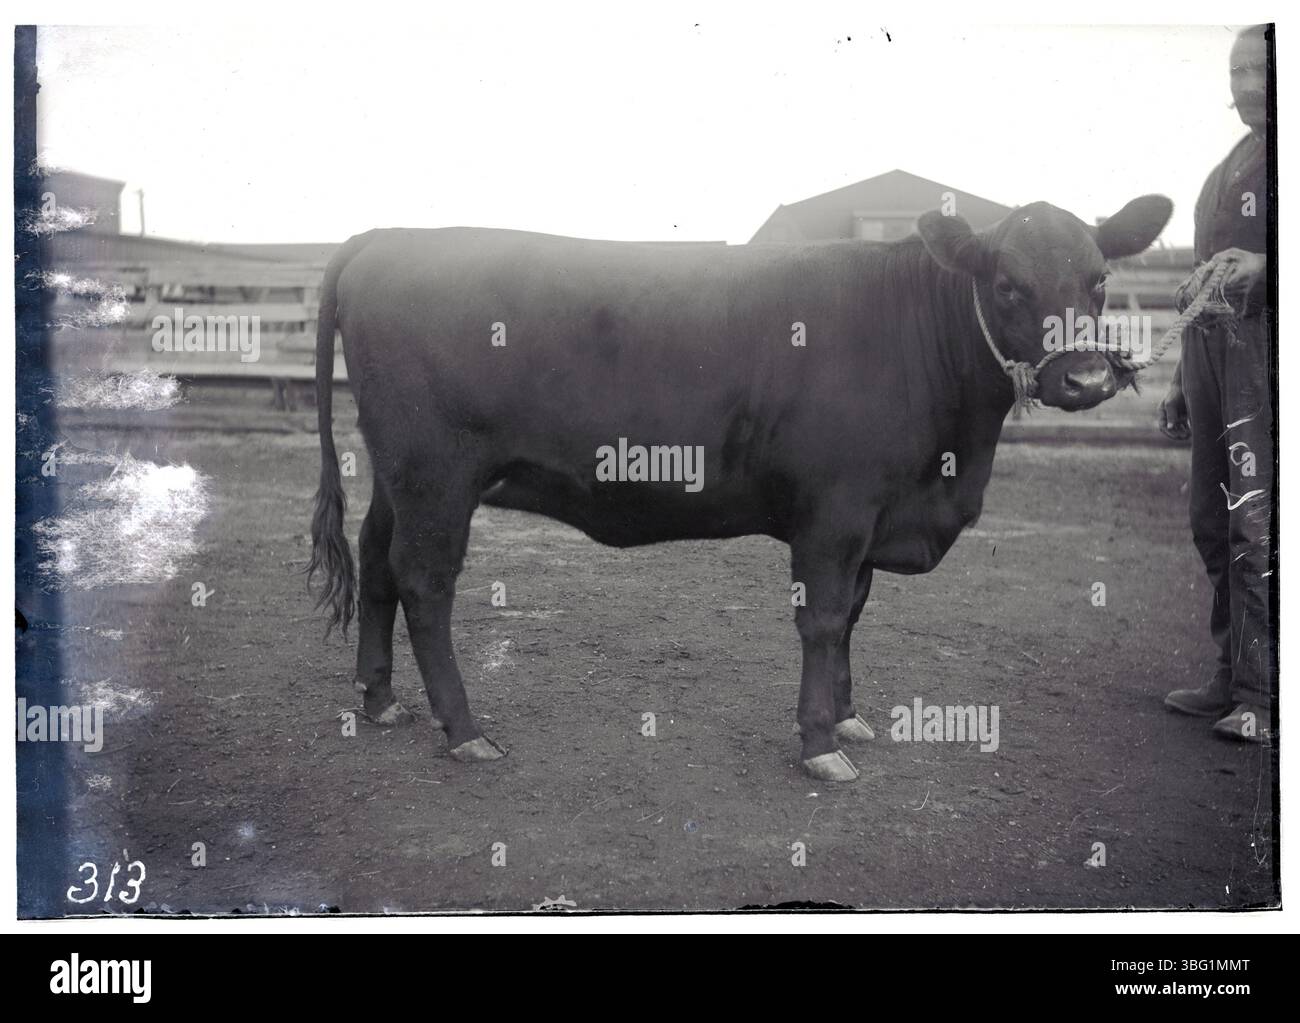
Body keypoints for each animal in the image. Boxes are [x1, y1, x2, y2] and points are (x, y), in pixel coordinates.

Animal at [309, 195, 1173, 781]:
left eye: (1099, 279)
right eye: (1007, 284)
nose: (1088, 379)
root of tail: (387, 237)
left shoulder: (870, 516)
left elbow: (853, 613)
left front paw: (849, 718)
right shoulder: (835, 510)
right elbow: (822, 619)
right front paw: (820, 742)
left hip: (398, 473)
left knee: (377, 558)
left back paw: (379, 698)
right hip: (437, 473)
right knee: (425, 583)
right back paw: (464, 730)